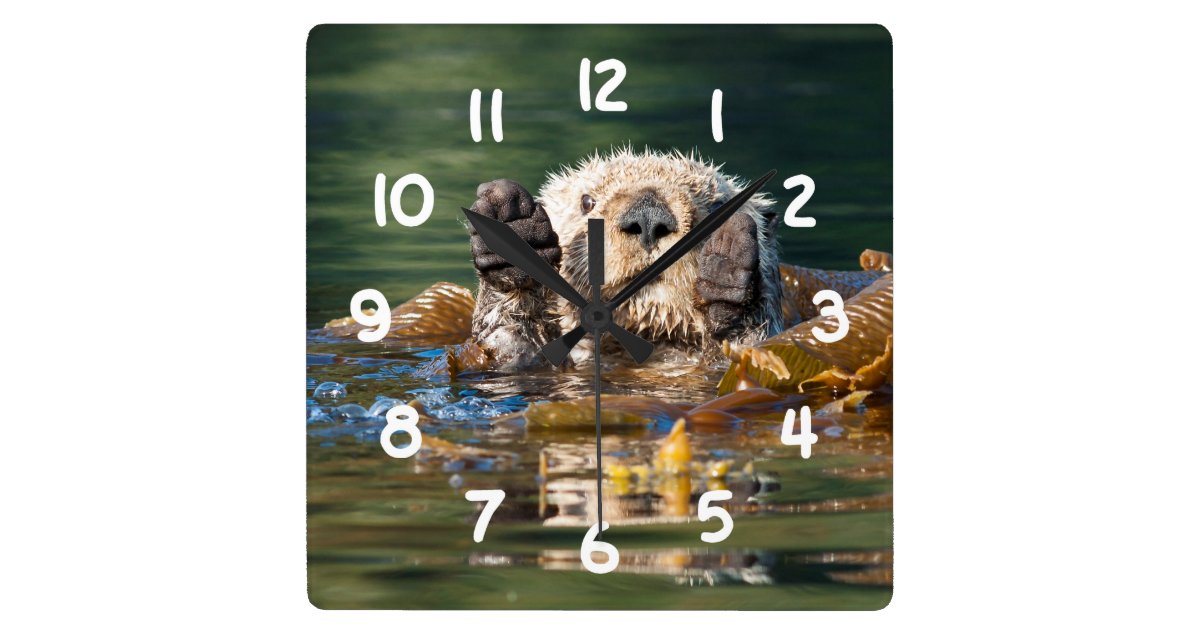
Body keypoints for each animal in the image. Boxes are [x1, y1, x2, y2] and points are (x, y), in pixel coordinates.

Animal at [466, 148, 783, 368]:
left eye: (718, 205)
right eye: (587, 201)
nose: (648, 216)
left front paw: (726, 274)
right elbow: (514, 348)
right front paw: (512, 225)